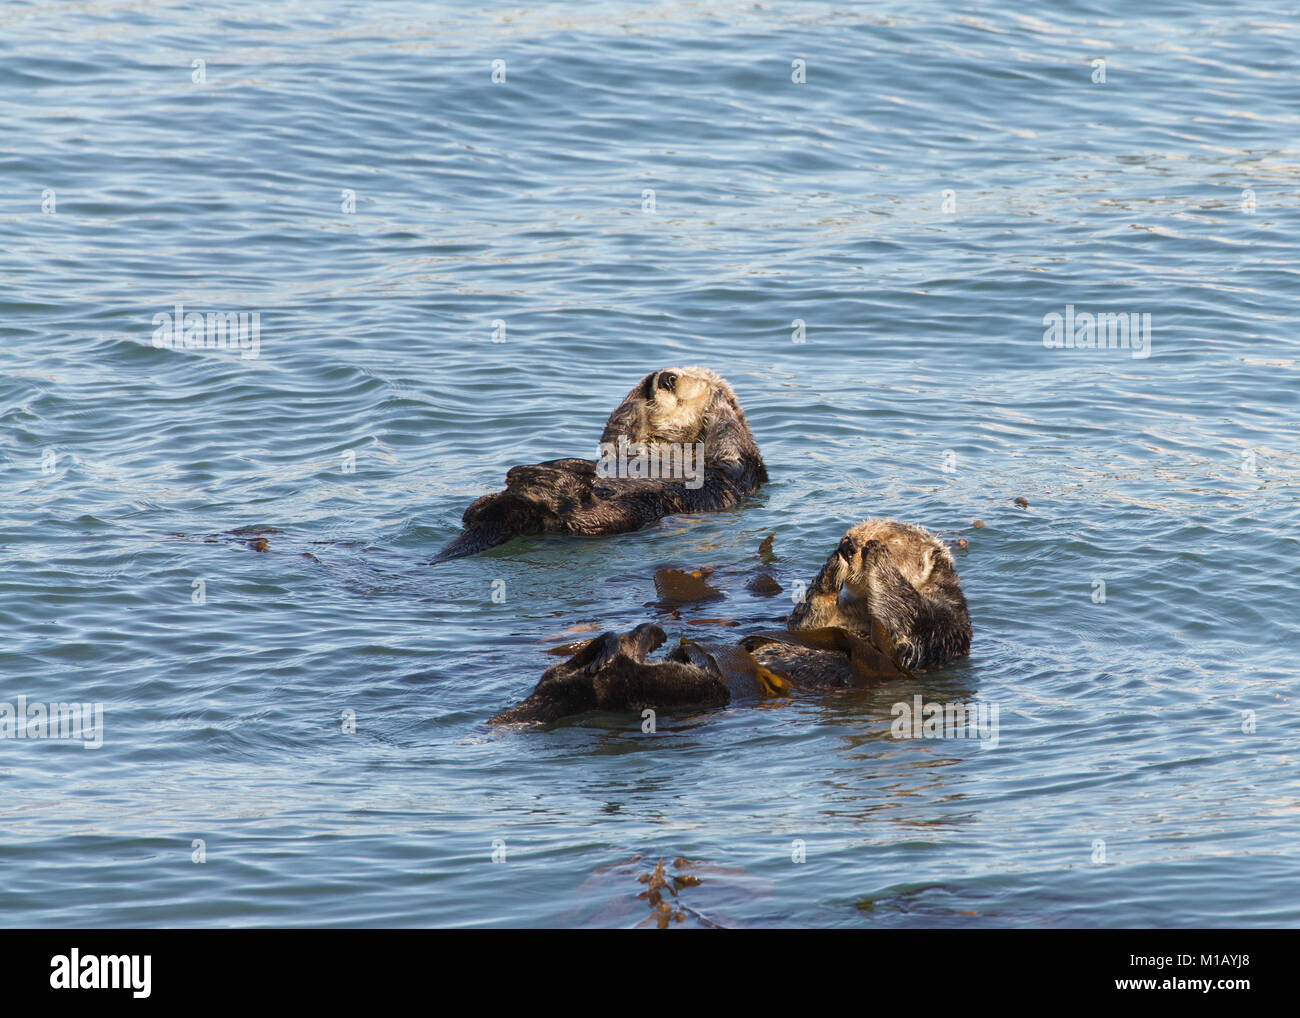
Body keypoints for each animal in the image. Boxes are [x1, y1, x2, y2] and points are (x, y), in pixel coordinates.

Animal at [431, 367, 767, 562]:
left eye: (693, 380)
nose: (669, 378)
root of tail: (523, 506)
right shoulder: (621, 447)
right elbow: (619, 431)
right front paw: (646, 384)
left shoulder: (739, 462)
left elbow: (729, 435)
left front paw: (716, 396)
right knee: (474, 510)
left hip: (616, 517)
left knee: (580, 512)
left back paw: (549, 474)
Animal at [490, 519, 971, 724]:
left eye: (886, 536)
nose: (850, 544)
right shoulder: (821, 621)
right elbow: (805, 623)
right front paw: (831, 568)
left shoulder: (940, 628)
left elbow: (906, 619)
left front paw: (876, 558)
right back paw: (608, 644)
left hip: (694, 690)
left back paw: (630, 642)